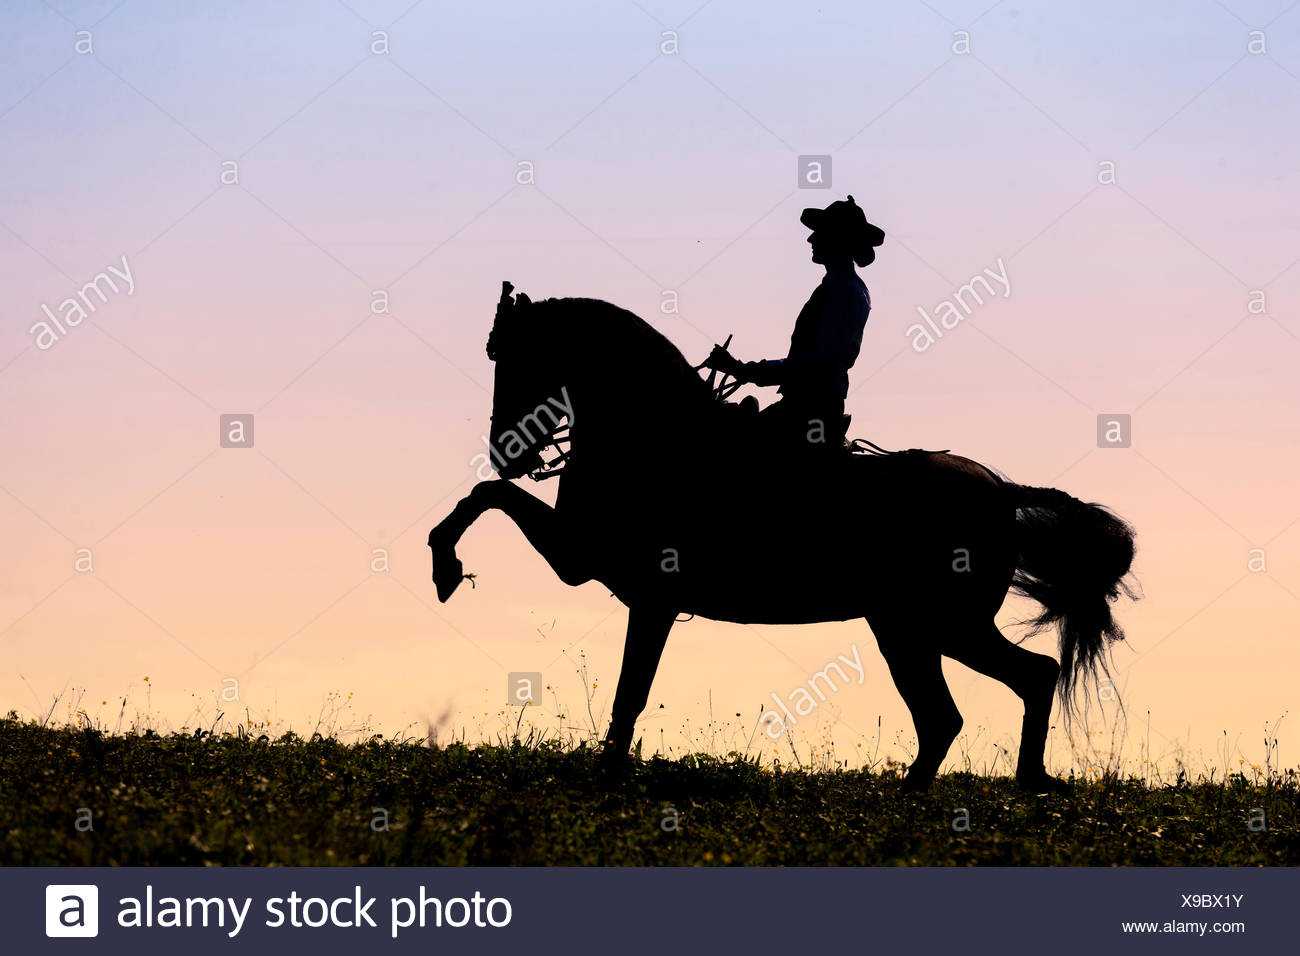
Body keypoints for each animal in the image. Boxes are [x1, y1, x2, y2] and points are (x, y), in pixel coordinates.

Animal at [428, 282, 1137, 792]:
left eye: (517, 356)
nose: (507, 450)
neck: (657, 437)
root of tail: (1002, 493)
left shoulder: (621, 582)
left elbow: (631, 688)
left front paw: (444, 568)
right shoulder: (587, 561)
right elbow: (488, 499)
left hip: (941, 625)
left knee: (1017, 682)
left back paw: (999, 786)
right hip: (909, 628)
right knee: (961, 708)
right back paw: (967, 790)